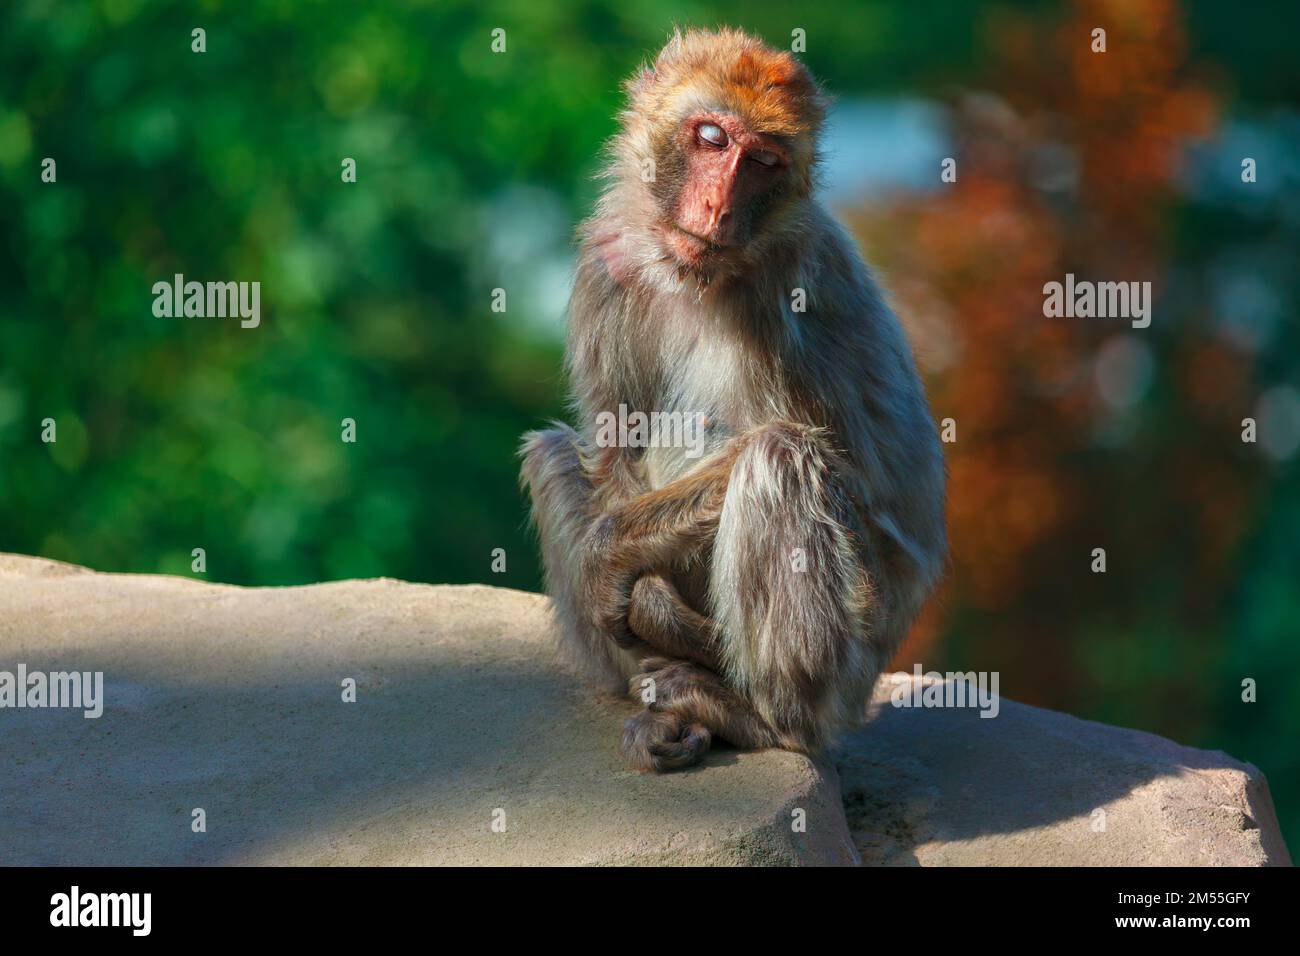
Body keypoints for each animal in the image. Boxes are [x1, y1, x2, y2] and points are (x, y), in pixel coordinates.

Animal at [520, 28, 947, 772]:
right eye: (713, 138)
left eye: (765, 162)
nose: (719, 208)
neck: (691, 276)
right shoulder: (607, 264)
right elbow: (613, 451)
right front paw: (646, 599)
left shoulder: (787, 294)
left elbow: (847, 474)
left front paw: (611, 561)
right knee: (552, 453)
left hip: (852, 666)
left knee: (779, 458)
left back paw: (760, 718)